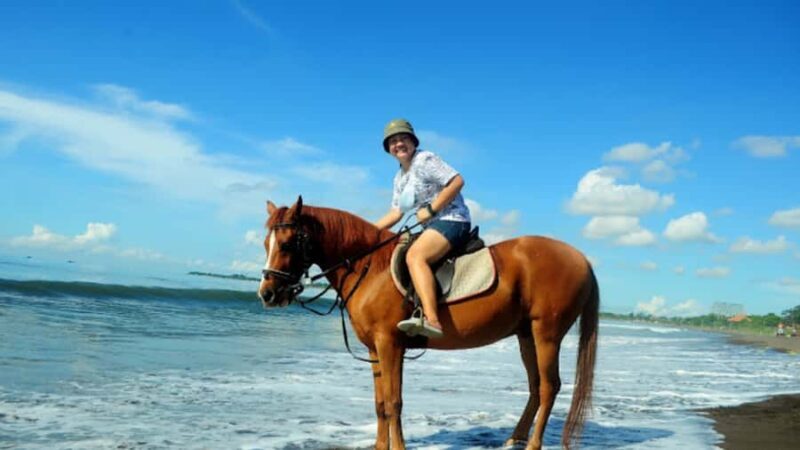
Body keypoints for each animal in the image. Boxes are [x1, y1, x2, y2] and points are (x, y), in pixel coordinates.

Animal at [258, 197, 599, 450]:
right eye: (265, 244)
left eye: (287, 244)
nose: (268, 293)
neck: (371, 267)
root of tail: (582, 258)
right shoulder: (376, 349)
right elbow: (380, 403)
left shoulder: (390, 344)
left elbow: (393, 402)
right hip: (526, 335)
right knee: (535, 386)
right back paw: (514, 438)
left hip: (546, 334)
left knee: (550, 387)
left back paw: (531, 444)